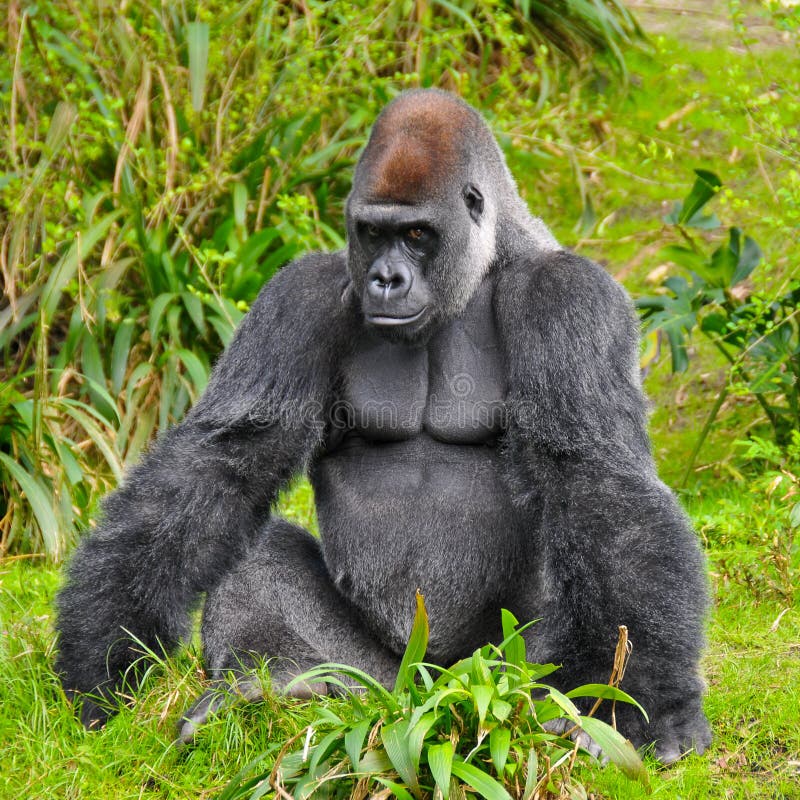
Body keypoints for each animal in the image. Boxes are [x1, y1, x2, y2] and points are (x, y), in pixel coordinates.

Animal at [55, 89, 711, 764]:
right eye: (372, 233)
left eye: (417, 234)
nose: (386, 279)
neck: (485, 263)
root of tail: (428, 690)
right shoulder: (299, 295)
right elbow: (224, 461)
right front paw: (101, 648)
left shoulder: (571, 297)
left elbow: (594, 475)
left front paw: (653, 699)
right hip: (374, 681)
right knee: (254, 553)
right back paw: (272, 681)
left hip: (493, 673)